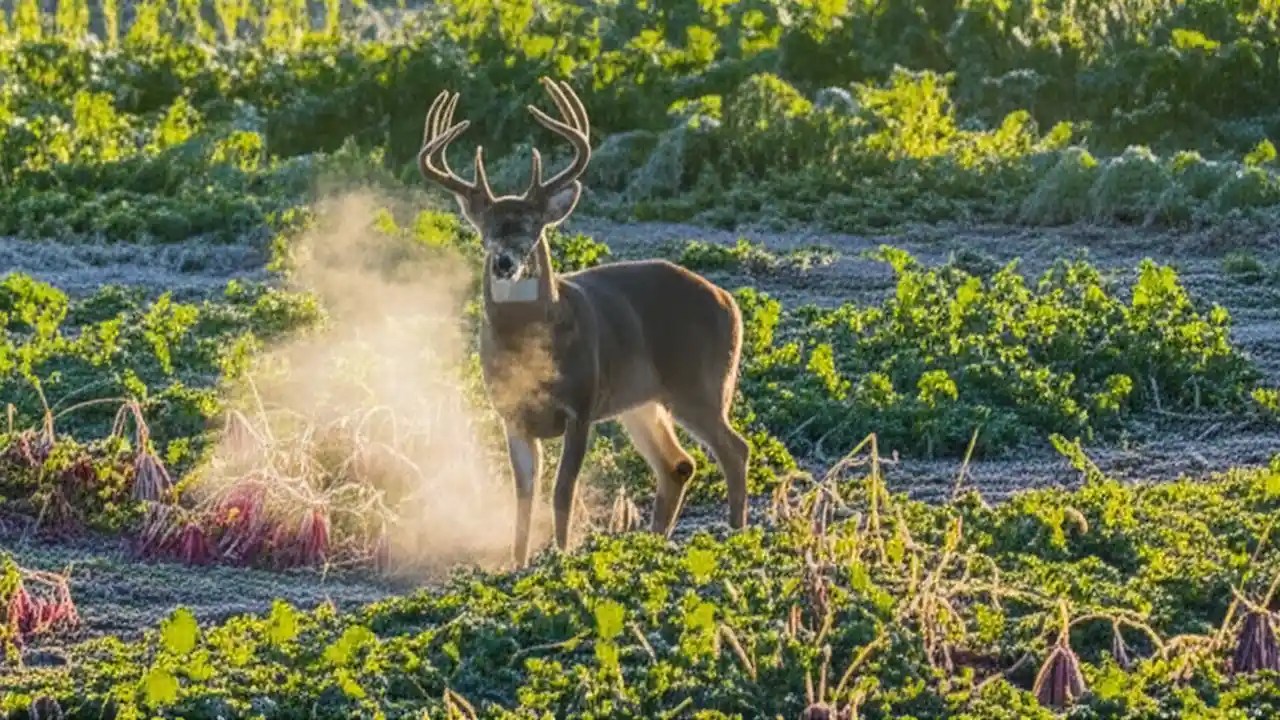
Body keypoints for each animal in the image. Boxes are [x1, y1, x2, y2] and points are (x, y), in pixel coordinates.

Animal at [416, 77, 751, 567]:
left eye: (533, 229)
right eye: (487, 232)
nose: (504, 262)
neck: (530, 352)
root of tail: (730, 301)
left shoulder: (582, 404)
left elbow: (562, 492)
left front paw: (560, 555)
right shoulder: (510, 414)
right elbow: (524, 498)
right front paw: (518, 564)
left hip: (699, 383)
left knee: (734, 449)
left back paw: (737, 536)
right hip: (641, 400)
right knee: (678, 465)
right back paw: (655, 545)